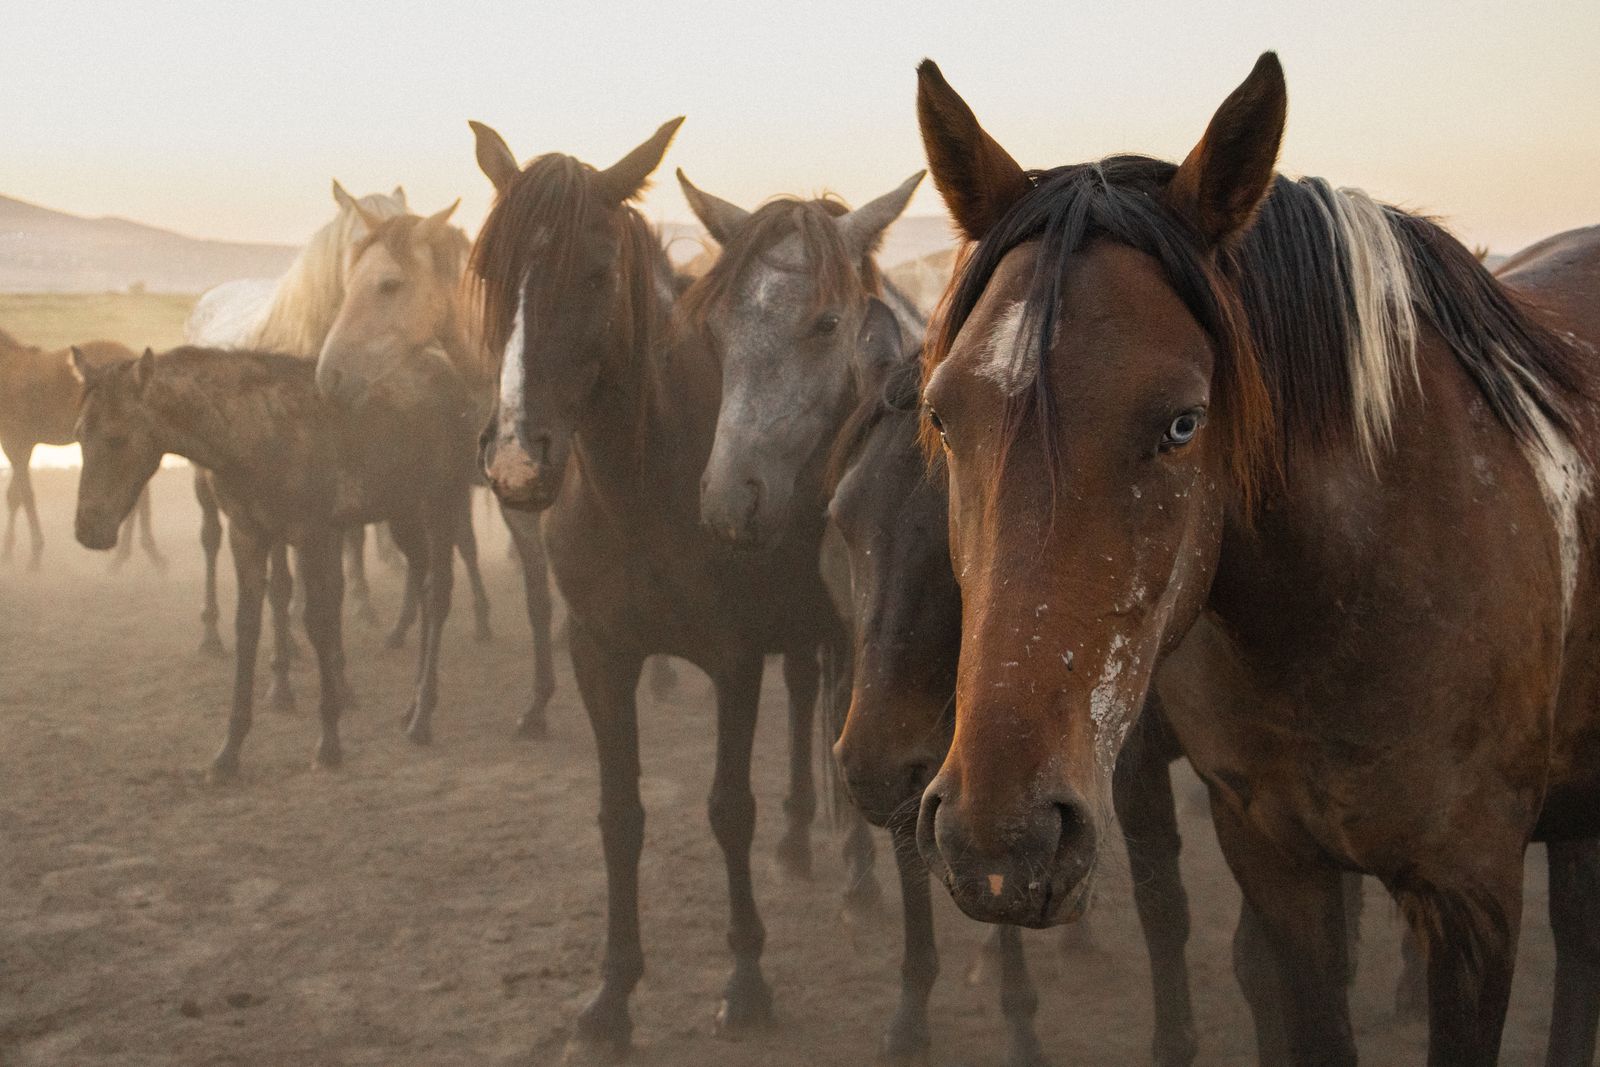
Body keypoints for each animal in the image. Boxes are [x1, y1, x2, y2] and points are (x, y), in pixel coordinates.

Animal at [0, 331, 162, 570]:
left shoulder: (16, 442)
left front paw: (33, 555)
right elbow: (15, 496)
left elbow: (24, 496)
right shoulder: (20, 445)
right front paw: (9, 553)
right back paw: (133, 554)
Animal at [72, 342, 472, 777]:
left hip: (442, 501)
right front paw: (229, 751)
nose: (87, 529)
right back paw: (411, 706)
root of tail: (450, 377)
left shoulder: (312, 535)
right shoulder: (247, 535)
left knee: (438, 592)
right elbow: (248, 626)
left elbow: (318, 623)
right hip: (403, 512)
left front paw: (329, 743)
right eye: (78, 434)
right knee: (423, 581)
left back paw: (423, 718)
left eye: (116, 438)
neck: (252, 434)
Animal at [467, 117, 845, 1060]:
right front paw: (611, 992)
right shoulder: (599, 653)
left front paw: (745, 978)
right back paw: (798, 838)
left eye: (597, 274)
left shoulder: (733, 658)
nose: (518, 459)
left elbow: (728, 807)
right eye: (490, 272)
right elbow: (620, 814)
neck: (642, 485)